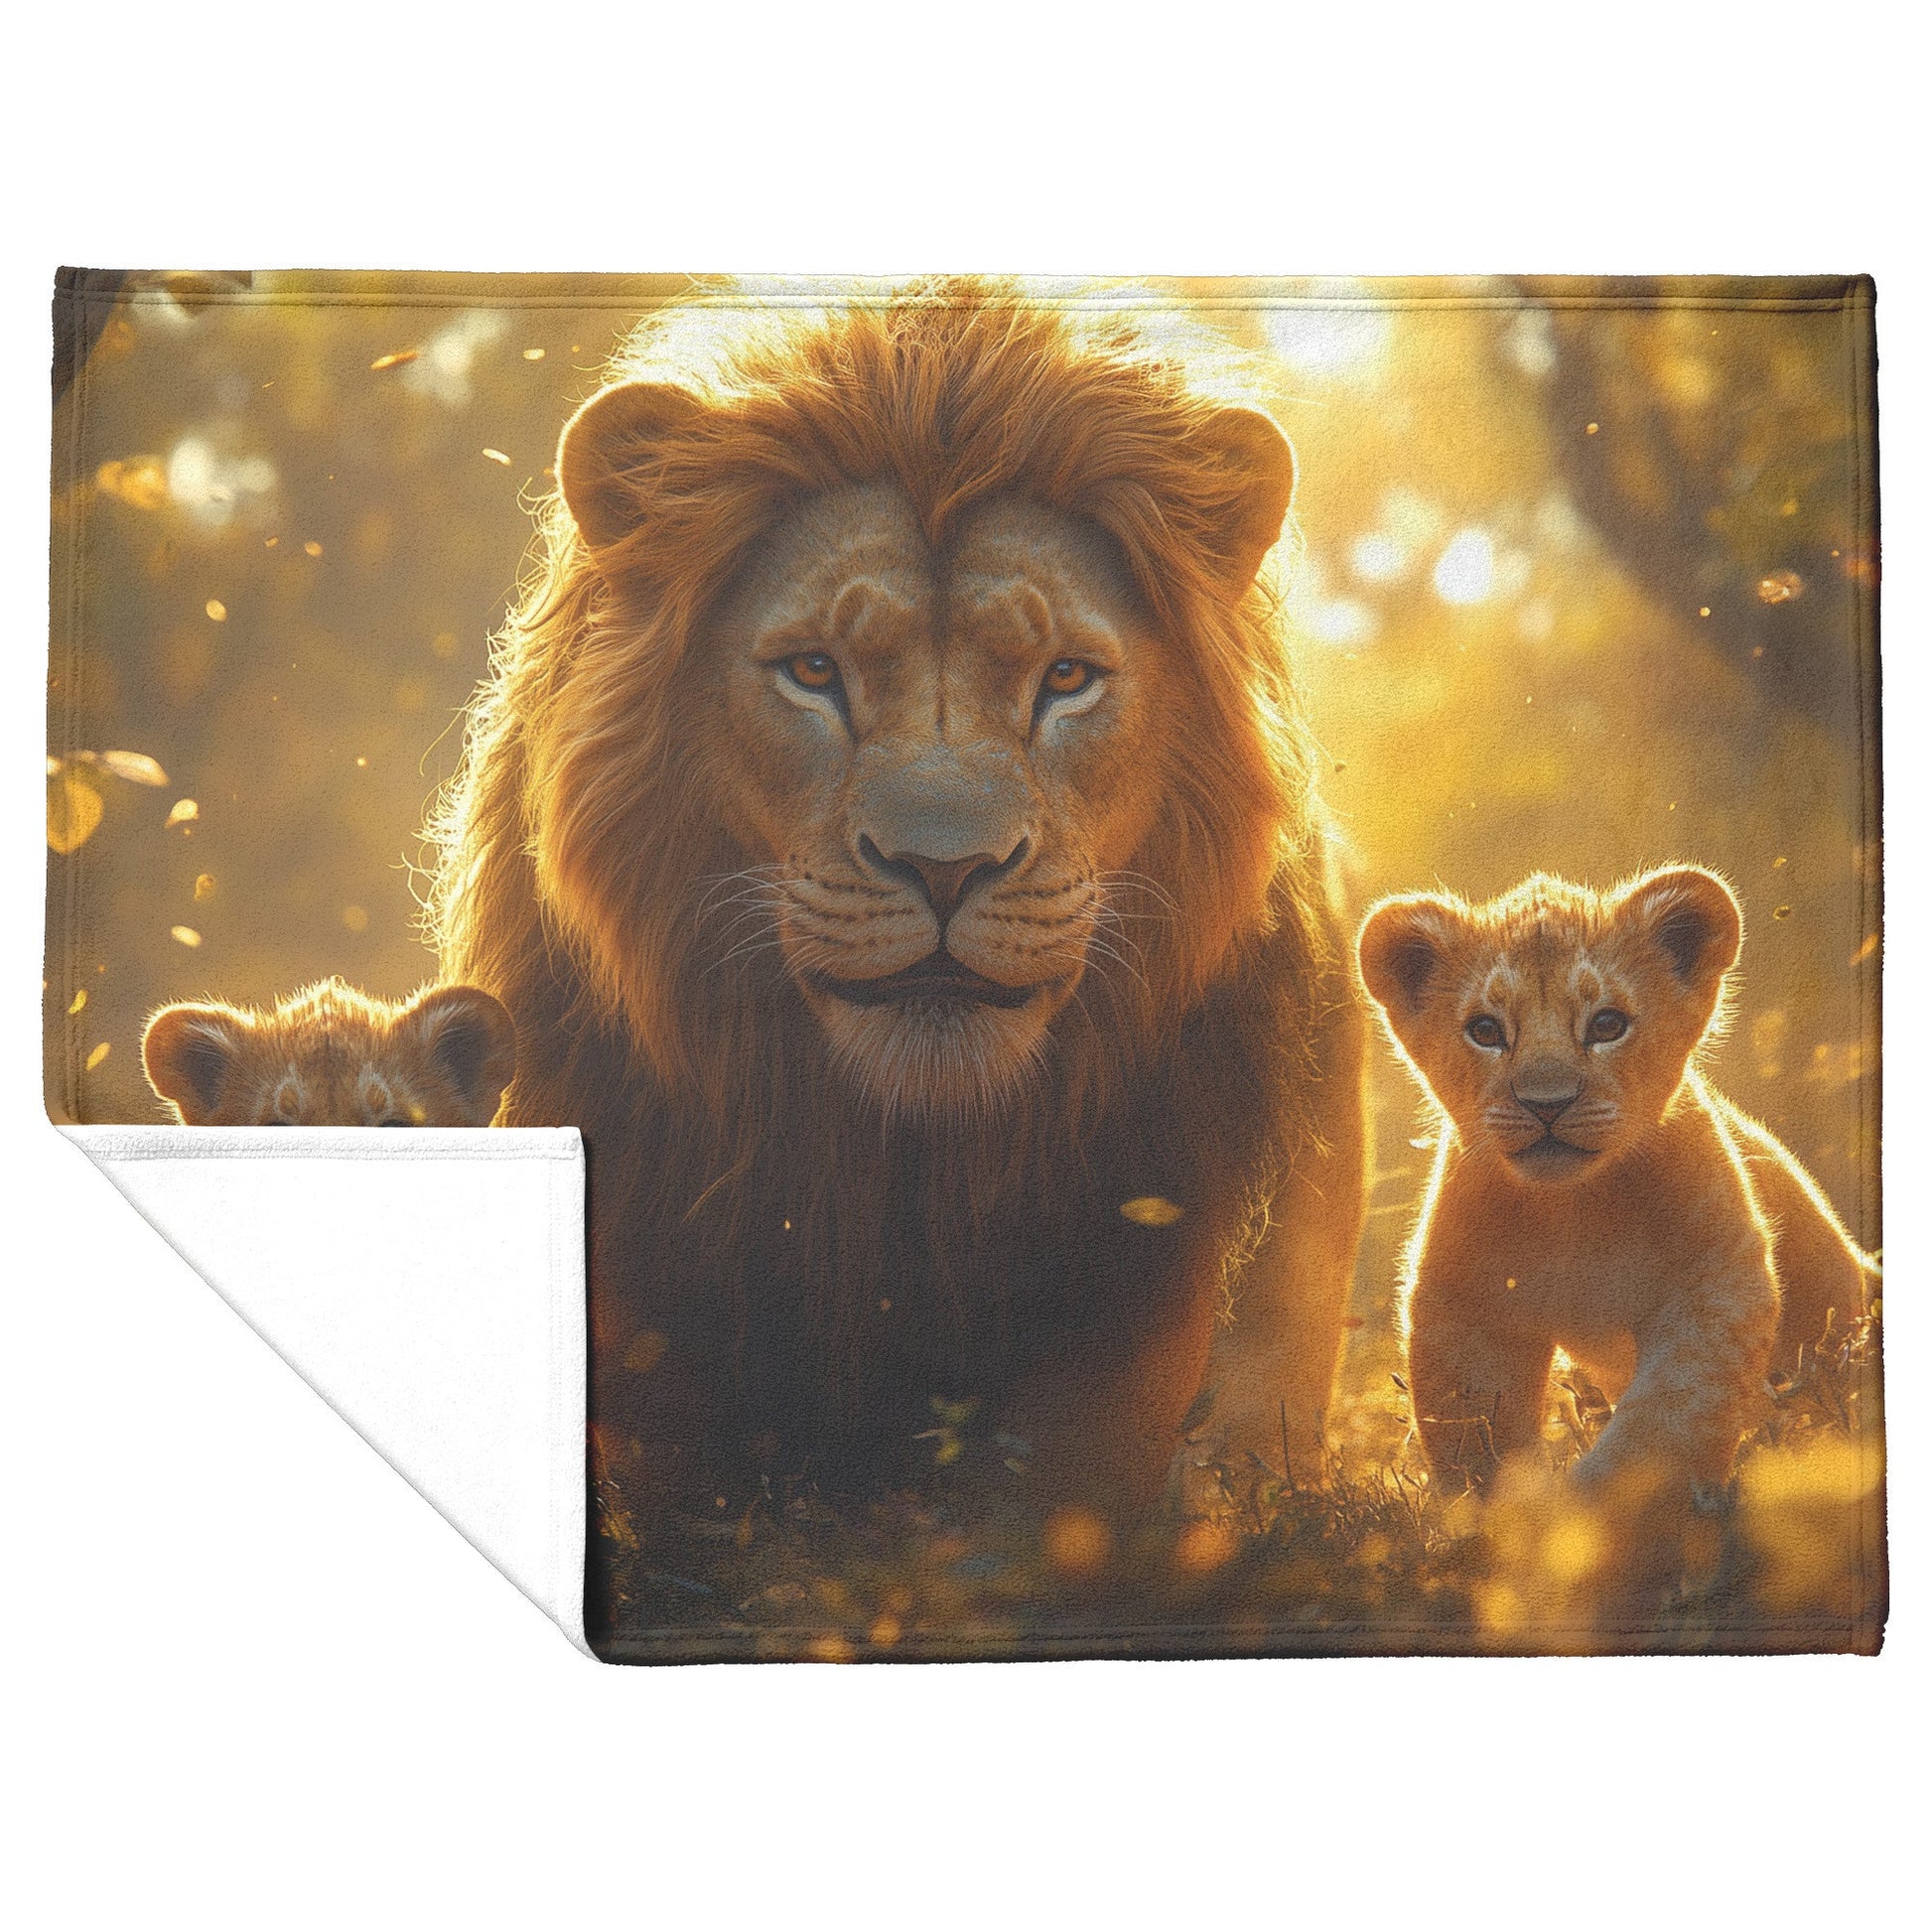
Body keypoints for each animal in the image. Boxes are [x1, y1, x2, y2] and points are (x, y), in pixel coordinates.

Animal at [1356, 865, 1875, 1503]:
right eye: (1485, 1030)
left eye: (1607, 1024)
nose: (1546, 1103)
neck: (1573, 1208)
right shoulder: (1464, 1308)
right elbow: (1474, 1437)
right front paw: (1503, 1517)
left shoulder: (1715, 1279)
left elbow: (1668, 1415)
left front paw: (1610, 1506)